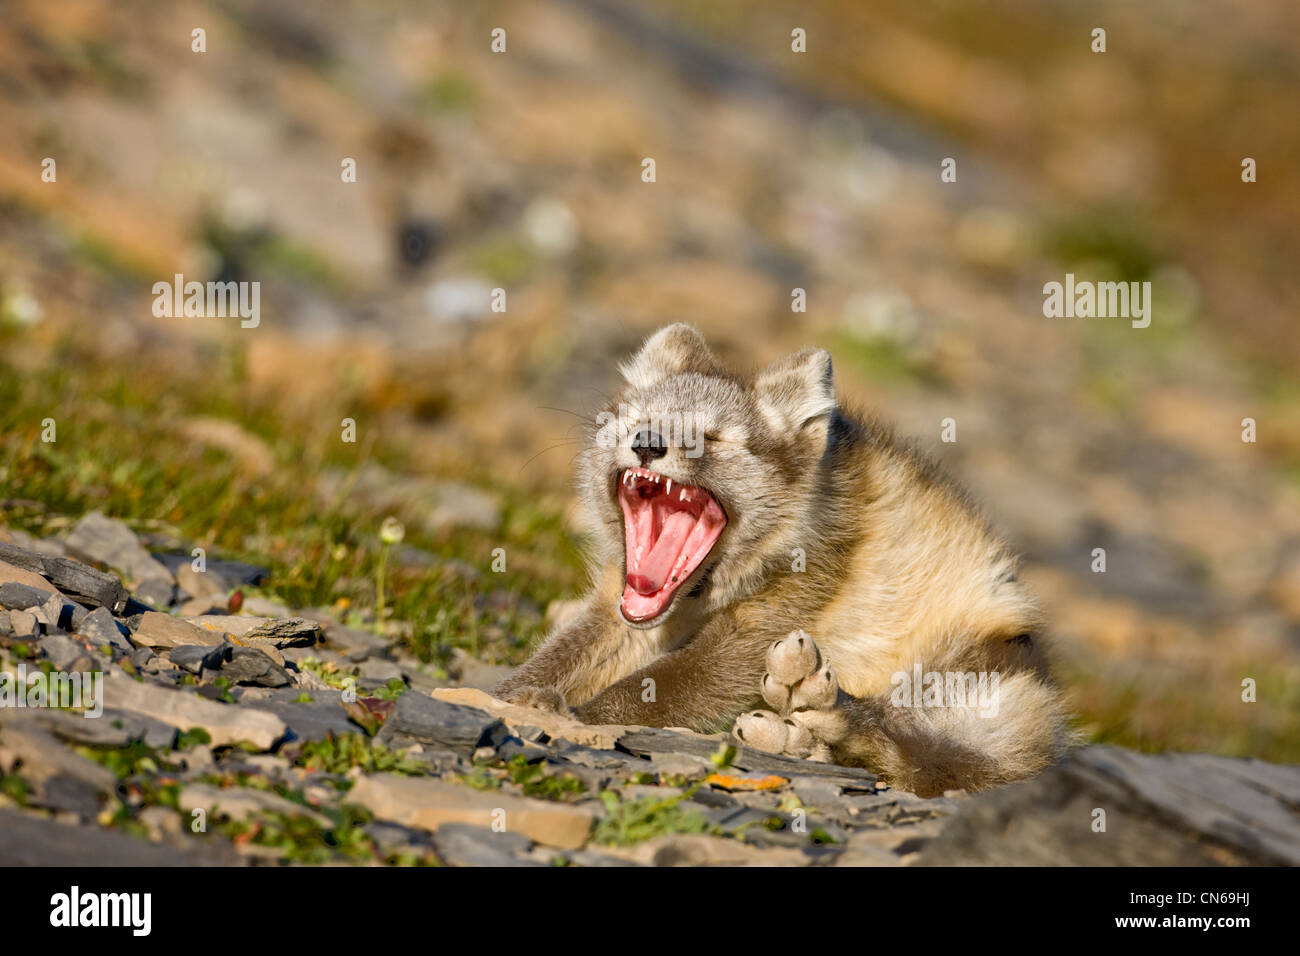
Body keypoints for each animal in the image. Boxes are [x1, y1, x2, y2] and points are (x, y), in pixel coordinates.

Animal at [494, 324, 1072, 796]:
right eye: (637, 419)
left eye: (712, 437)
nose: (647, 442)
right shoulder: (622, 608)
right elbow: (564, 655)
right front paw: (513, 694)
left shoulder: (770, 622)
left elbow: (662, 688)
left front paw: (569, 712)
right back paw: (791, 738)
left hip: (963, 693)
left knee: (925, 758)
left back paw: (824, 709)